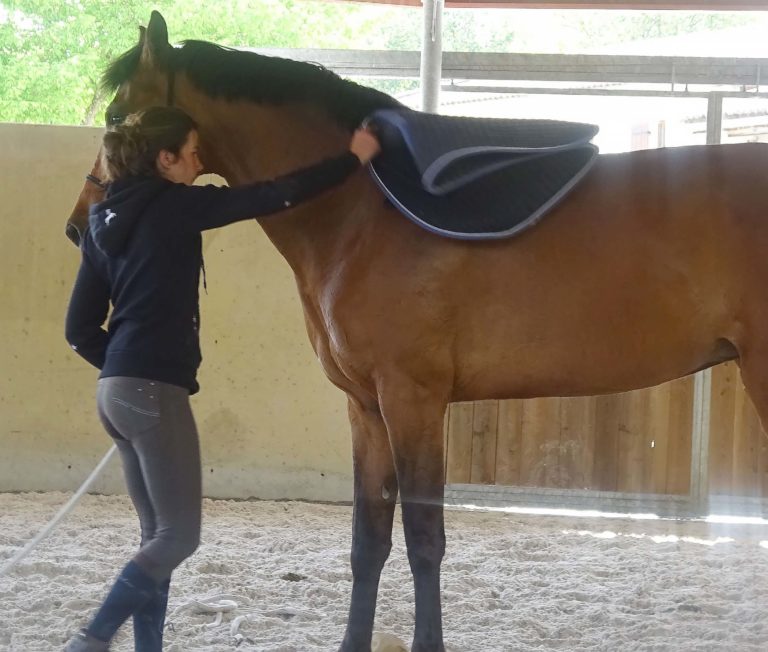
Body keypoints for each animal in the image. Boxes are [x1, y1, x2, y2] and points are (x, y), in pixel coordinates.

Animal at [65, 11, 768, 652]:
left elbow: (424, 540)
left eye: (117, 114)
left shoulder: (415, 400)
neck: (361, 213)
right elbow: (368, 539)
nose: (80, 225)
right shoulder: (366, 408)